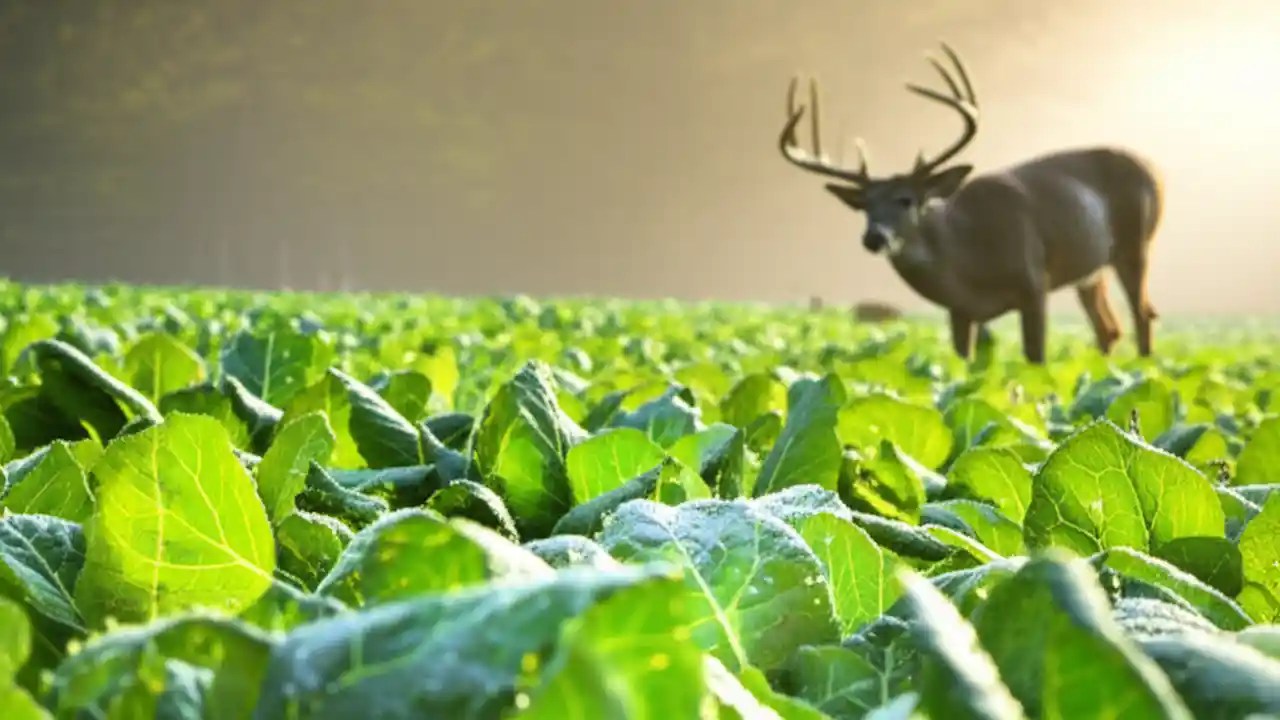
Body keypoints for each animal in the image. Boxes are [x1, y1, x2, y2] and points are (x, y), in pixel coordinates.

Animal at [778, 43, 1163, 364]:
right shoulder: (960, 311)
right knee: (1108, 328)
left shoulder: (1034, 283)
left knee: (1142, 314)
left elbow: (1035, 360)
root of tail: (1152, 168)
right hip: (1090, 270)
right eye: (865, 206)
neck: (967, 256)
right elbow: (963, 363)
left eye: (906, 200)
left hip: (1136, 243)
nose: (875, 237)